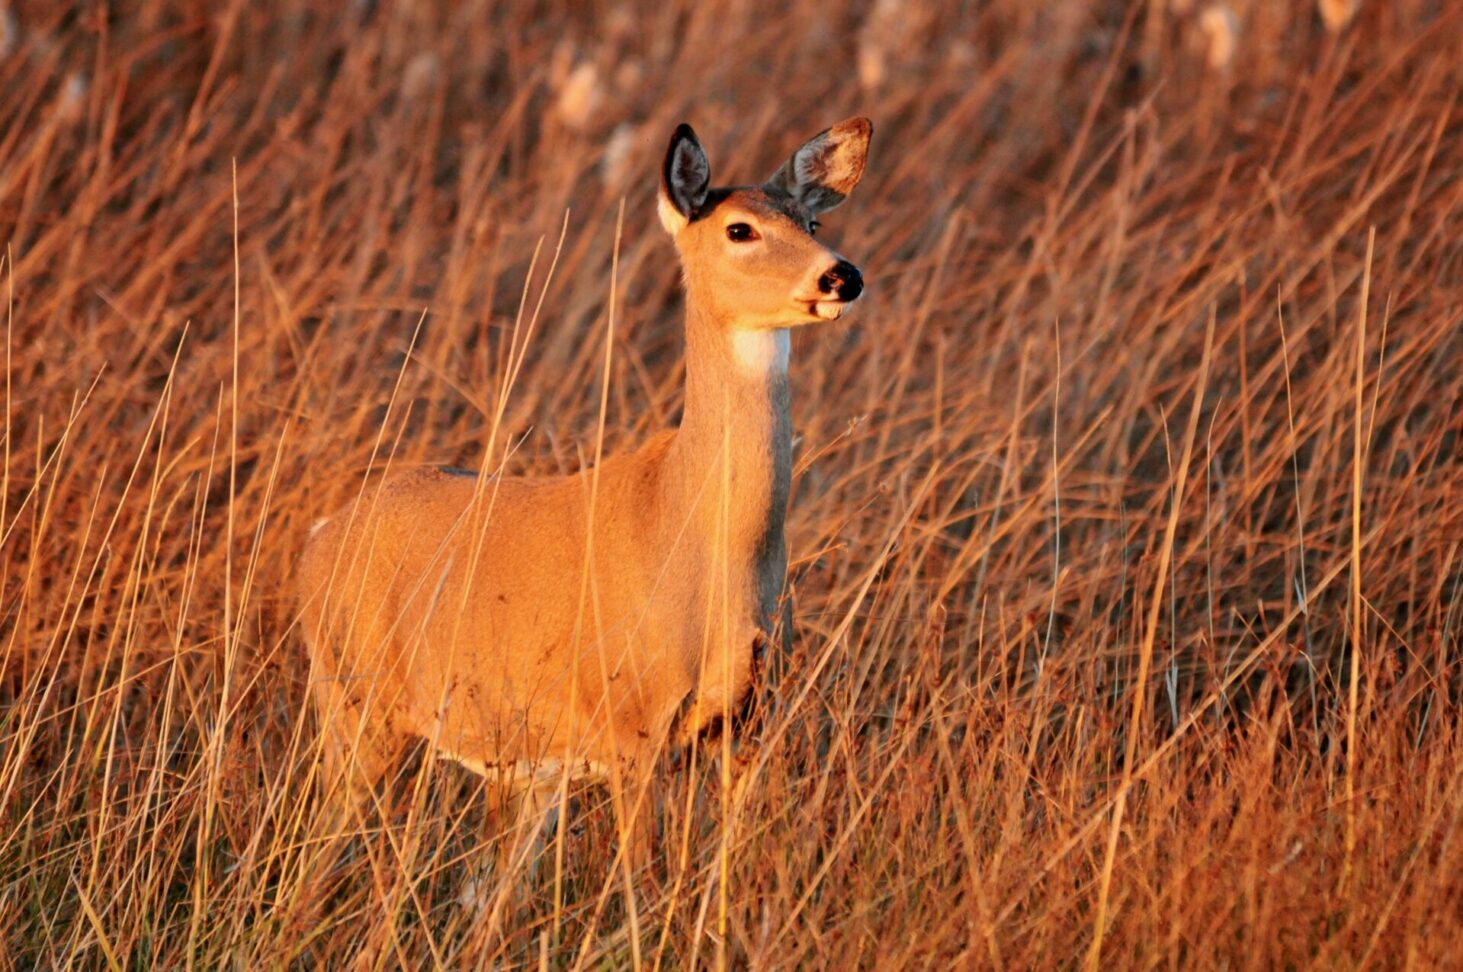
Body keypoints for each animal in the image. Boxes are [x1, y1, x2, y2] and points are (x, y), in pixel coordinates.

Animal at [296, 117, 873, 874]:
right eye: (740, 229)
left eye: (810, 220)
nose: (842, 274)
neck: (700, 535)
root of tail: (320, 538)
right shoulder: (631, 723)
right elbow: (642, 877)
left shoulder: (745, 720)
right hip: (356, 704)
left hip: (518, 763)